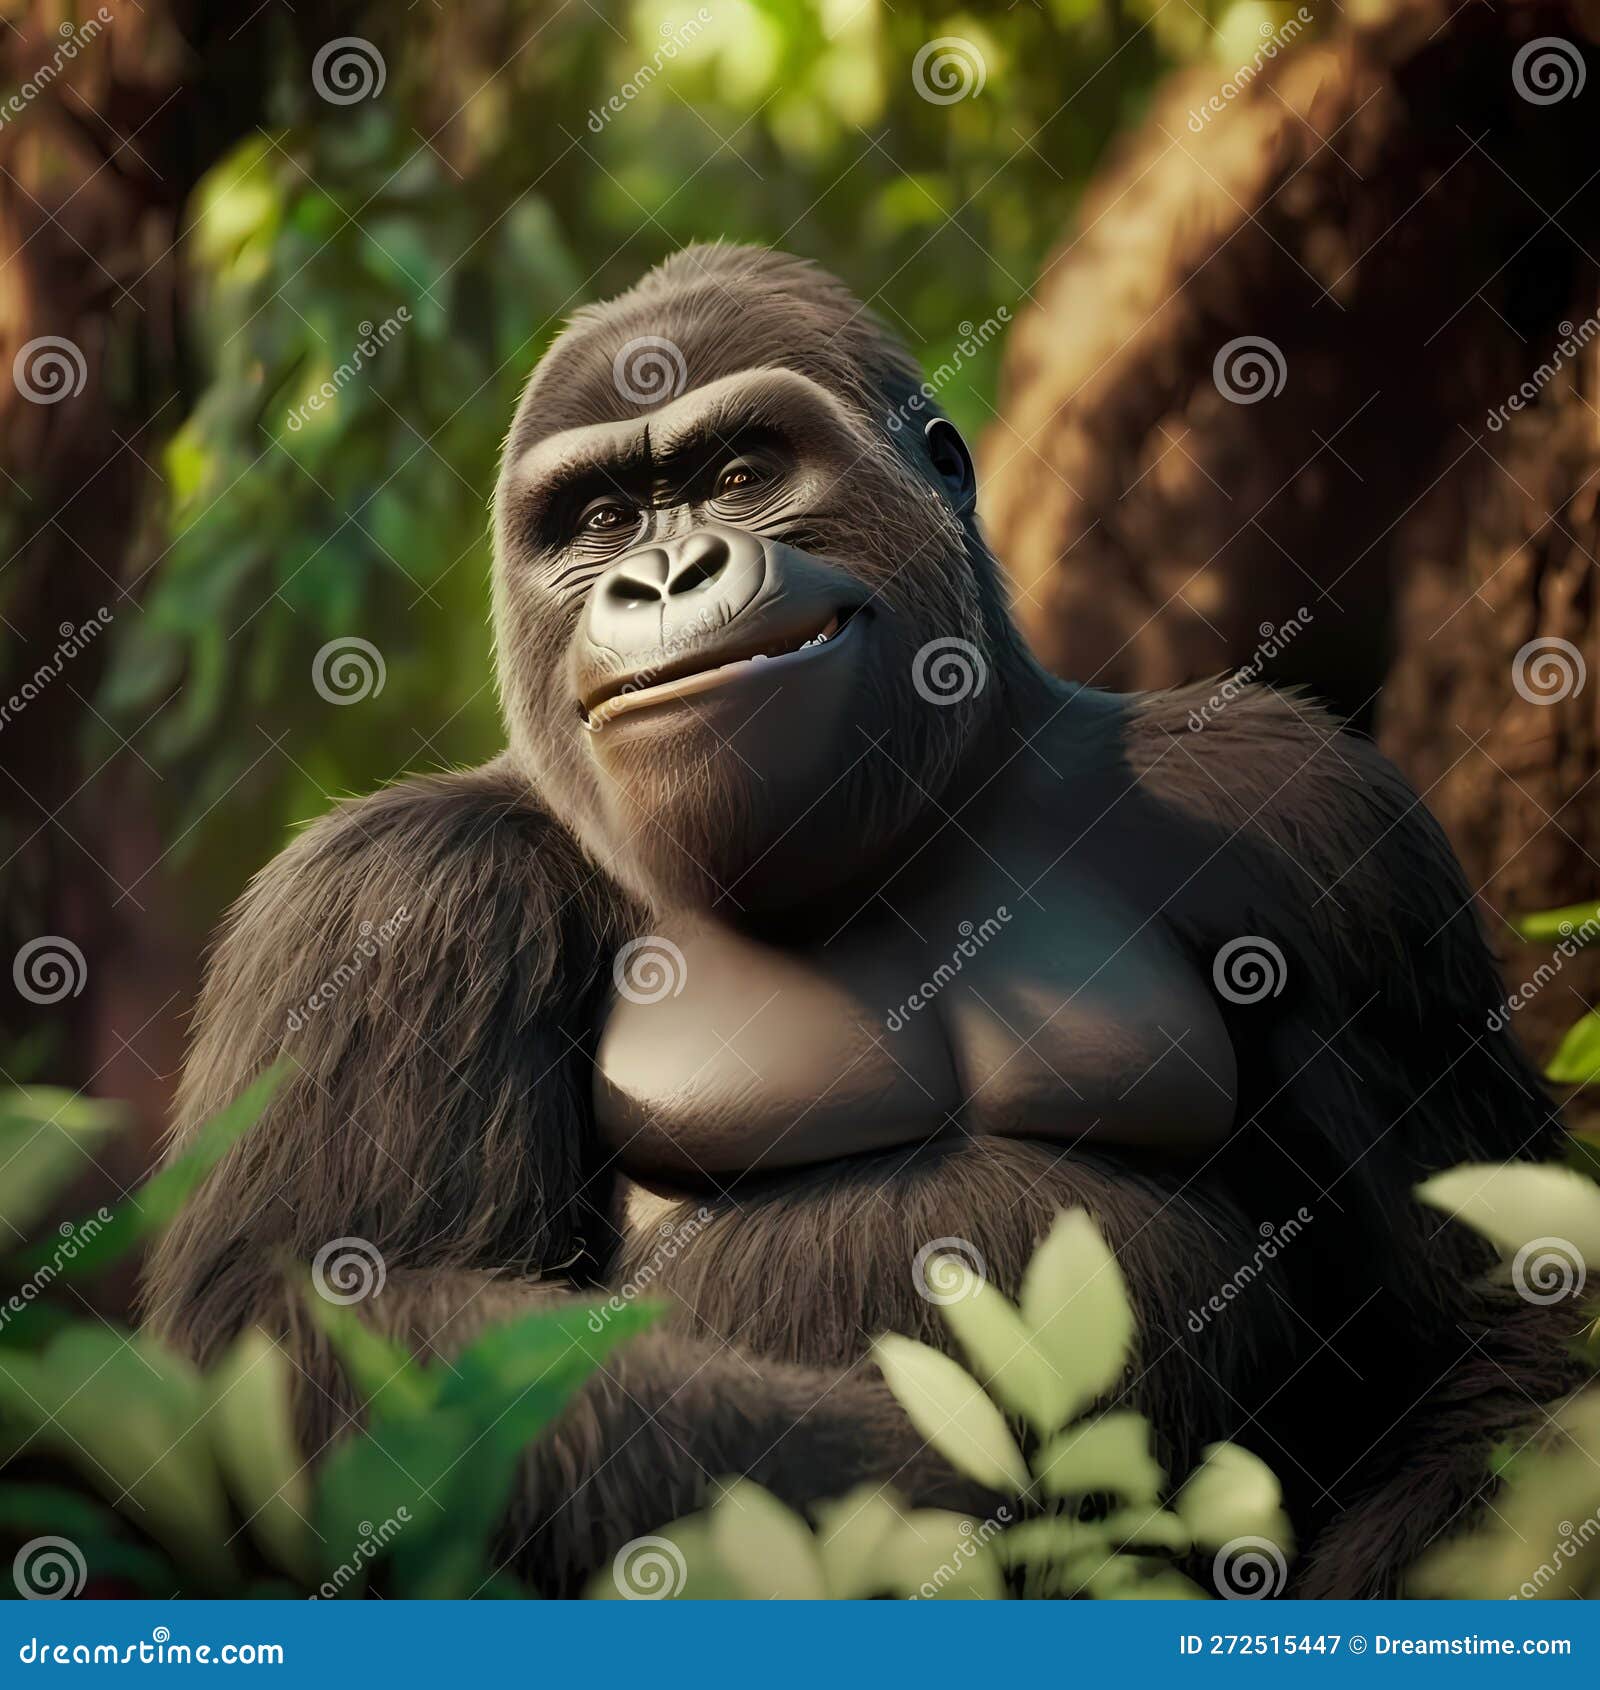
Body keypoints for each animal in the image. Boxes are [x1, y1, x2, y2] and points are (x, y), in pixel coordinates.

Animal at [143, 245, 1581, 1598]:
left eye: (738, 474)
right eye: (600, 518)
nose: (664, 574)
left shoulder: (1318, 826)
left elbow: (1499, 1319)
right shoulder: (390, 895)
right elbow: (302, 1318)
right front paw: (915, 1492)